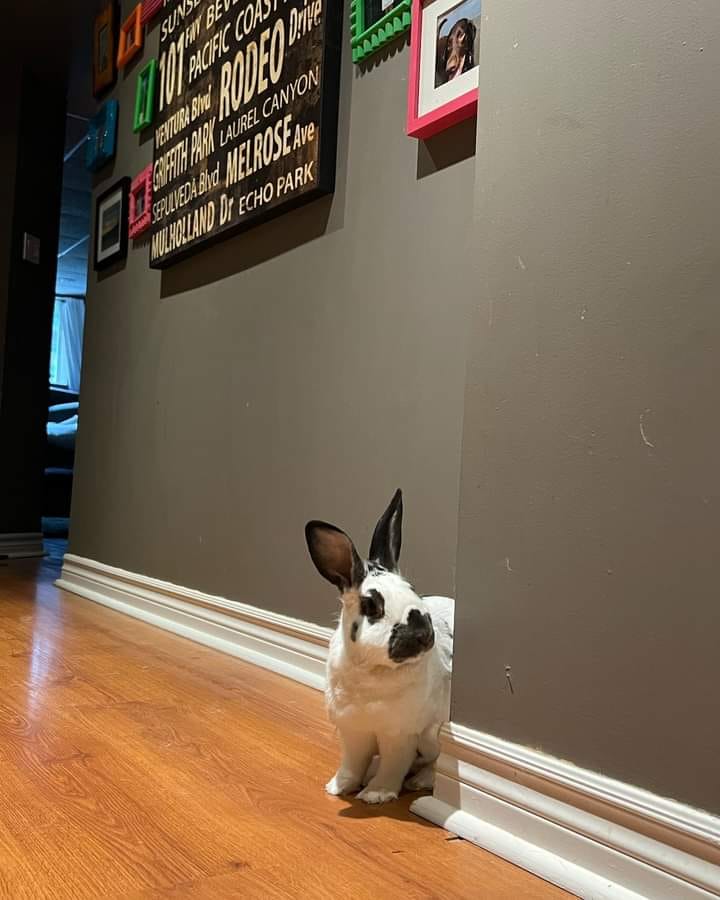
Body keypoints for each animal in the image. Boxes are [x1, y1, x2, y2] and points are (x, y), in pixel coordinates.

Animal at [305, 489, 454, 805]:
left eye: (412, 590)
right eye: (371, 605)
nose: (424, 634)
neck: (371, 671)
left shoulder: (400, 735)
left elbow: (394, 765)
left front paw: (377, 794)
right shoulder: (352, 731)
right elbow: (352, 762)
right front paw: (338, 787)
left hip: (432, 737)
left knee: (435, 764)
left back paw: (420, 781)